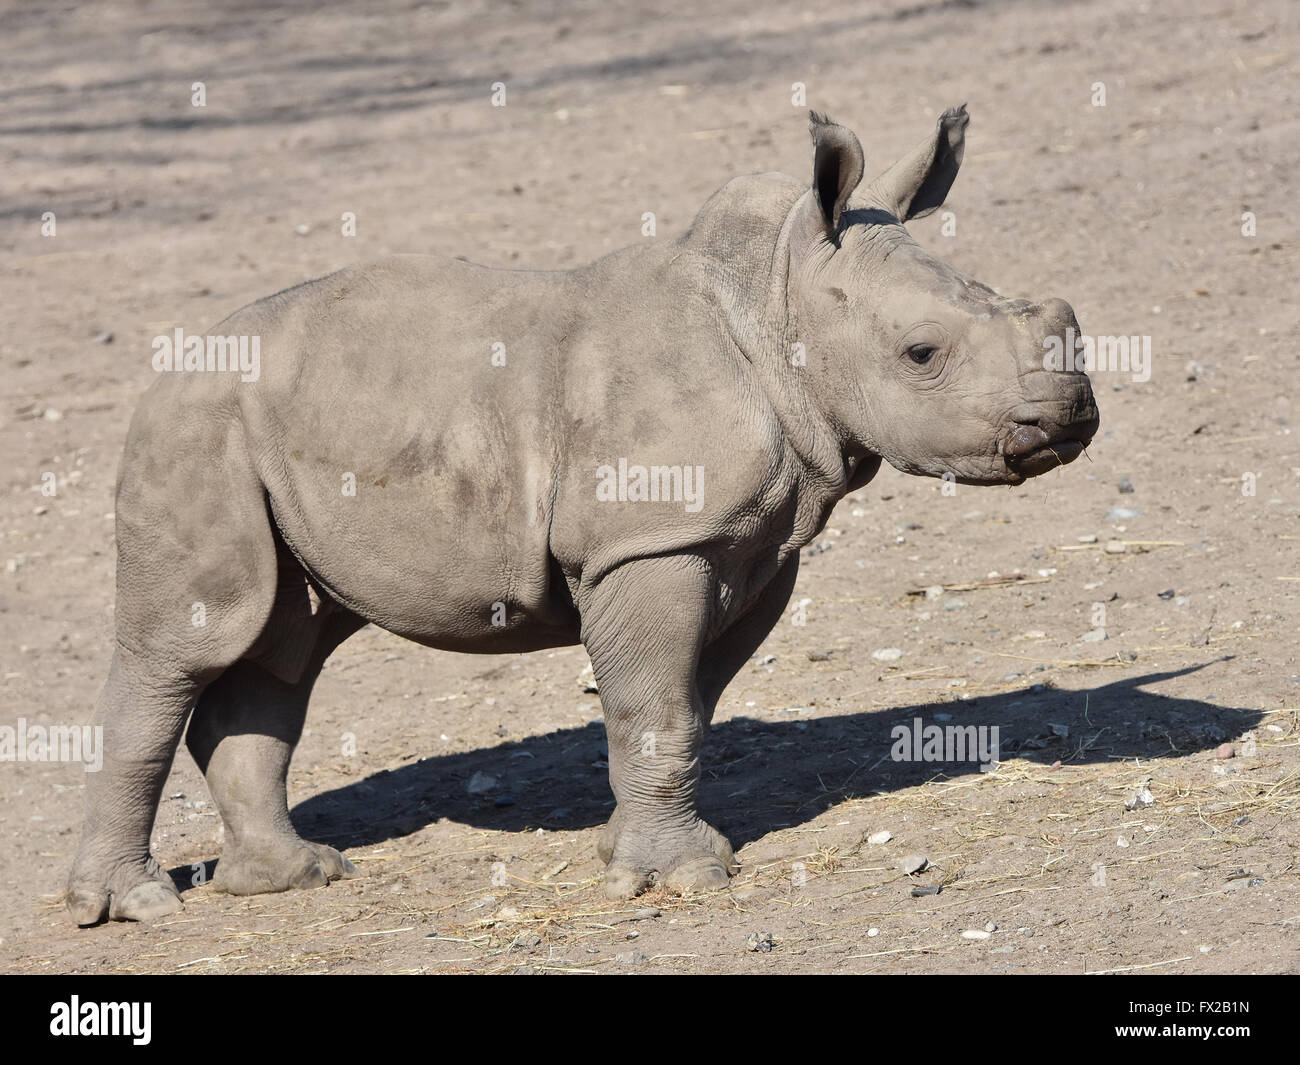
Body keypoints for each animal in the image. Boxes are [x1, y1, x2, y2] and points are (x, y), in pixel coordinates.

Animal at [67, 106, 1098, 923]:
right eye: (922, 354)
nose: (1073, 415)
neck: (775, 304)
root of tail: (166, 372)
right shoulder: (649, 542)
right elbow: (656, 701)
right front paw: (683, 879)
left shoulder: (744, 545)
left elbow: (683, 705)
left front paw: (635, 851)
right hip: (192, 429)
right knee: (191, 641)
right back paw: (134, 906)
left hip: (264, 440)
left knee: (282, 648)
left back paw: (296, 877)